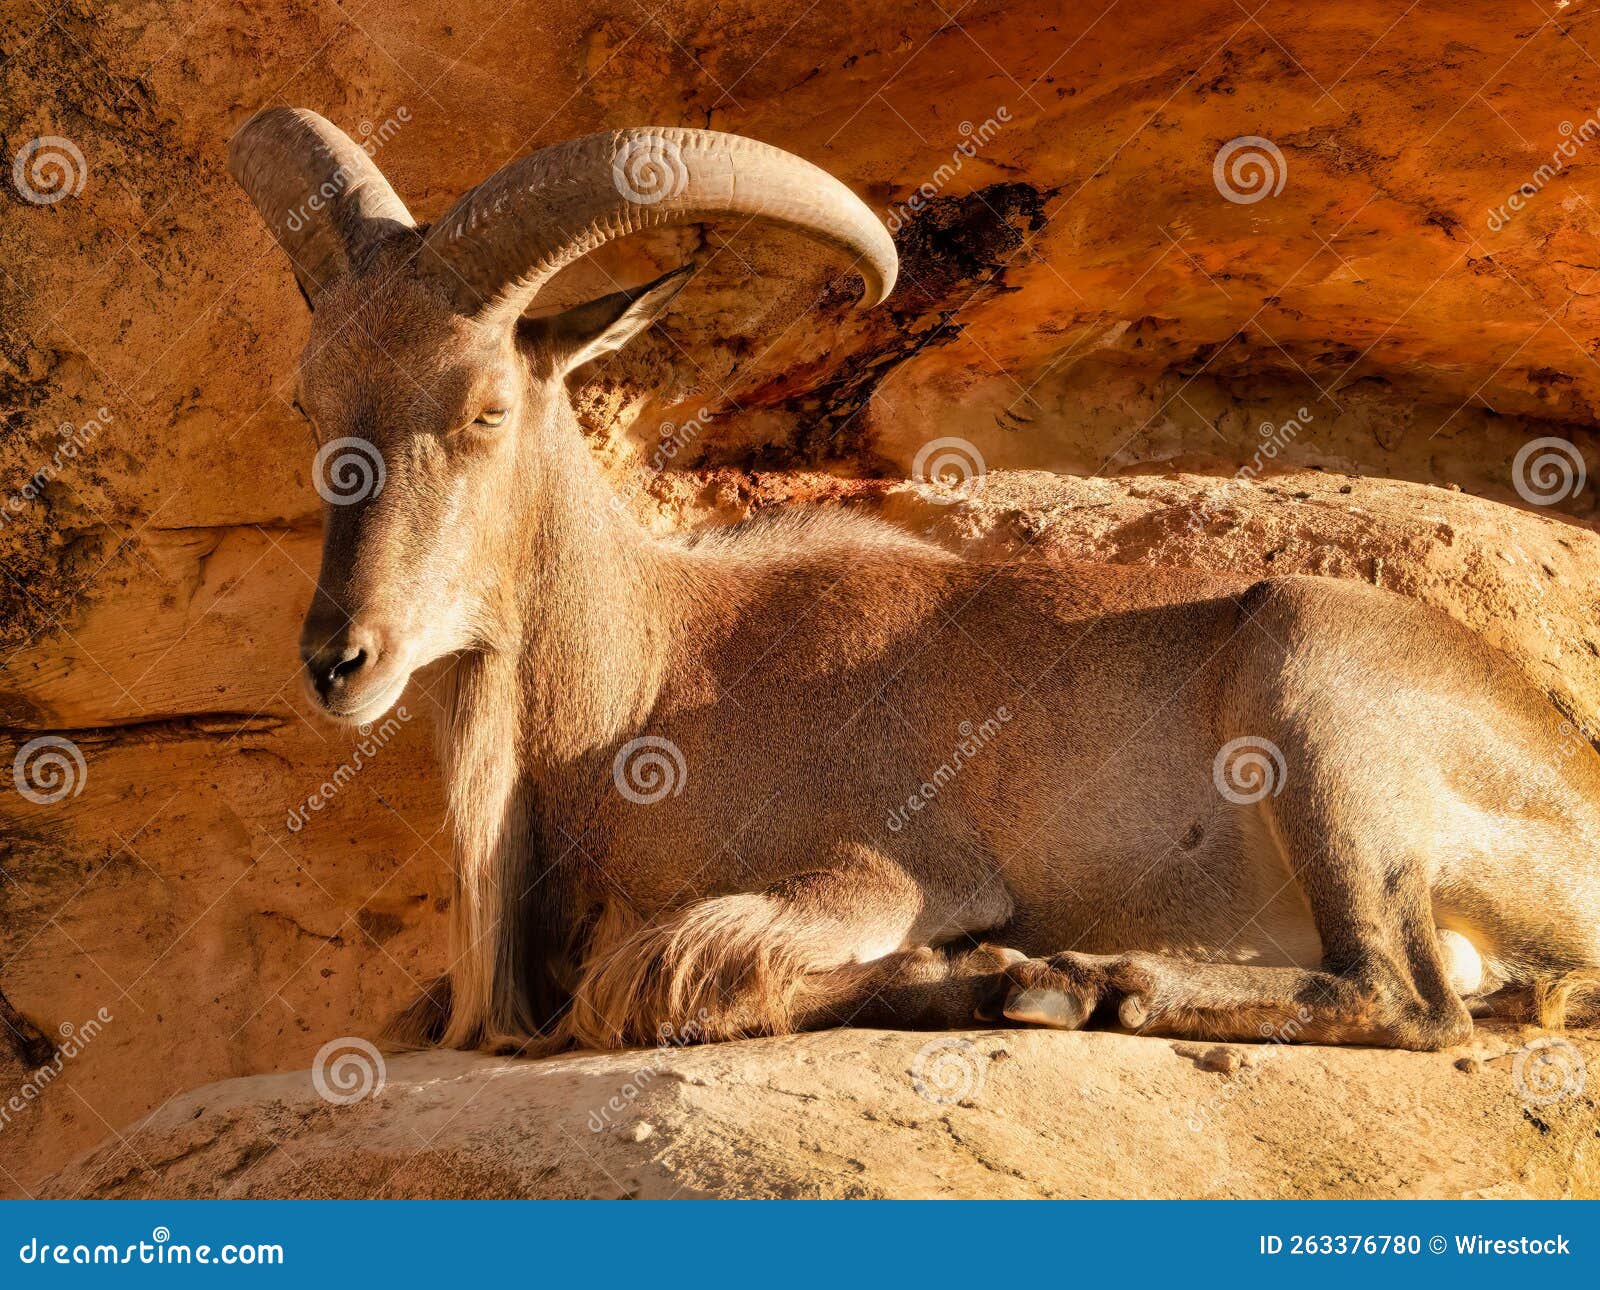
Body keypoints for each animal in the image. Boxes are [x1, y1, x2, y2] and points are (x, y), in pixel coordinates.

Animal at [230, 108, 1600, 1054]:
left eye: (486, 406)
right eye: (310, 402)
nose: (340, 659)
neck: (642, 684)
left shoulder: (888, 868)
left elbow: (669, 970)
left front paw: (1010, 974)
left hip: (1315, 694)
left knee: (1406, 998)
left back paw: (1115, 979)